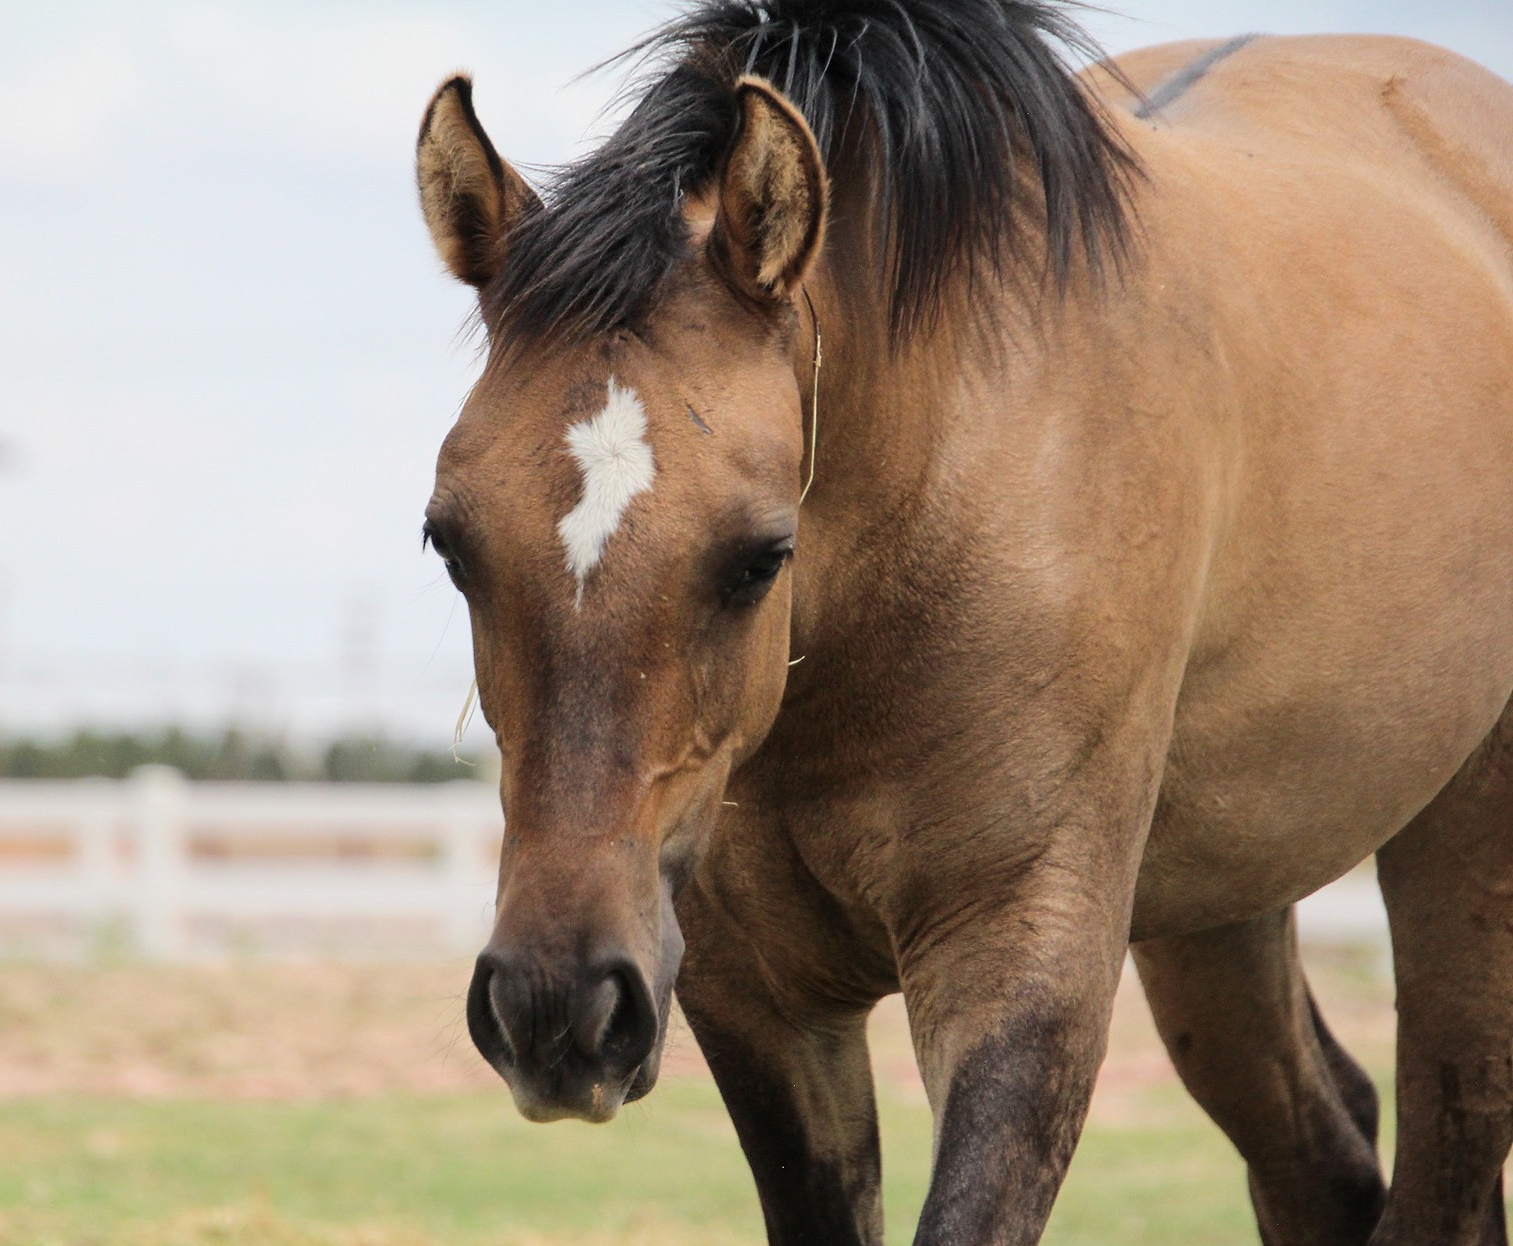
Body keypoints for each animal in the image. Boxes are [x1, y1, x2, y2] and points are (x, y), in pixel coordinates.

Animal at [413, 2, 1513, 1242]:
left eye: (758, 556)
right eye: (450, 541)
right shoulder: (754, 997)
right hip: (1218, 905)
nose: (556, 1007)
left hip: (1465, 838)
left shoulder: (1019, 962)